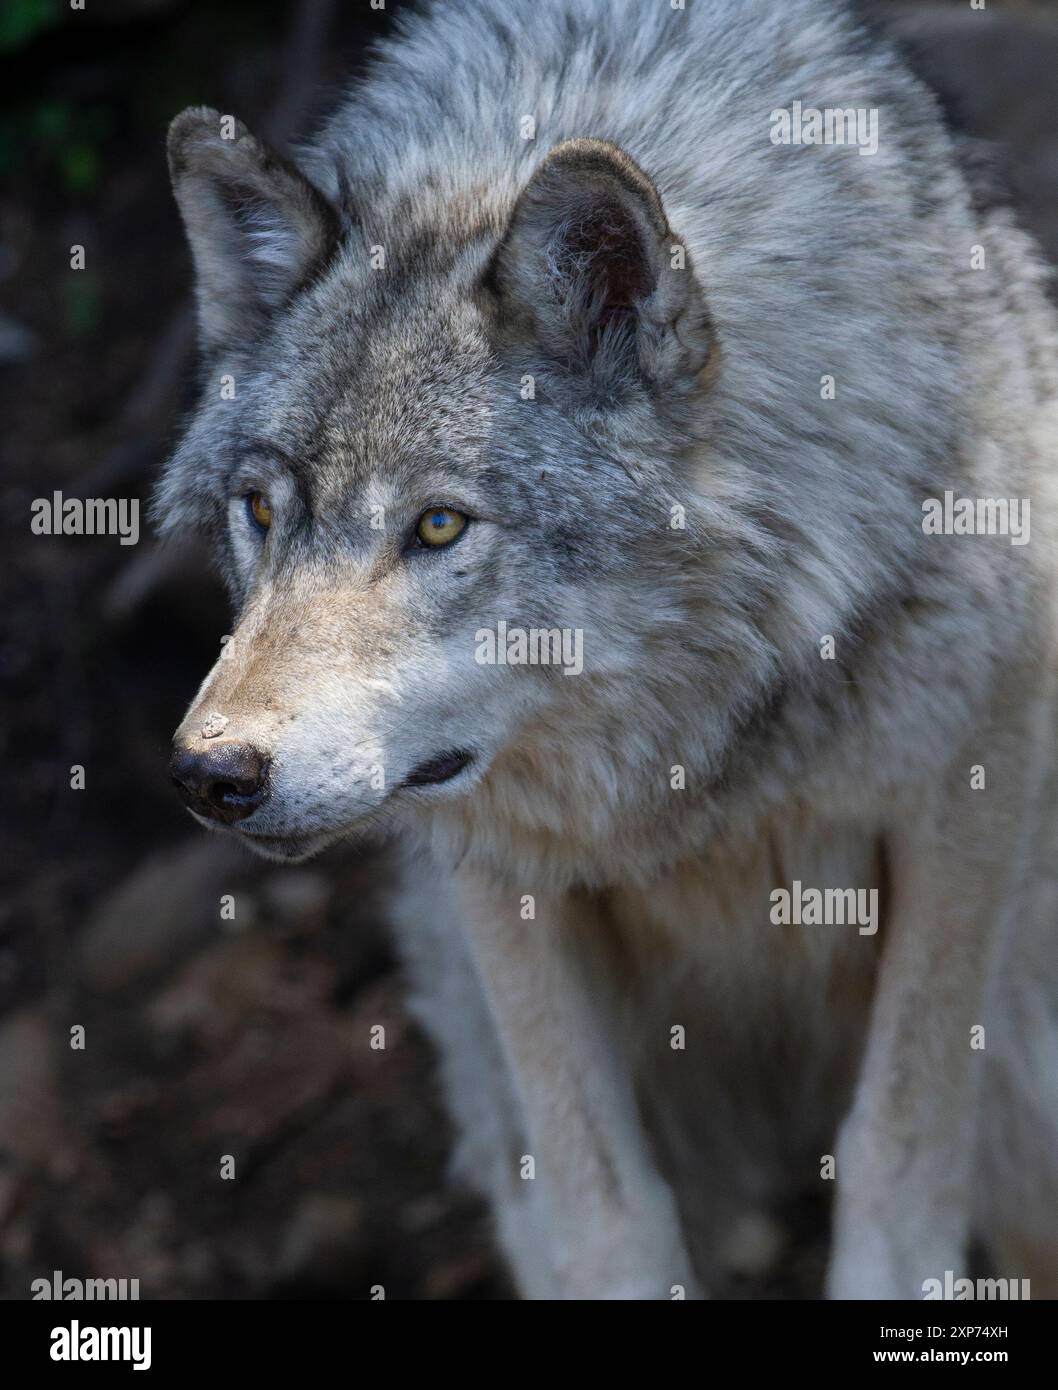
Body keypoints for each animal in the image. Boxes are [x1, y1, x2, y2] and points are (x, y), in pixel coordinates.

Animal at [158, 0, 1058, 1299]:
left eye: (437, 526)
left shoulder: (964, 794)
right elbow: (604, 1204)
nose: (211, 774)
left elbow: (899, 1135)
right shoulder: (501, 876)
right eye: (261, 511)